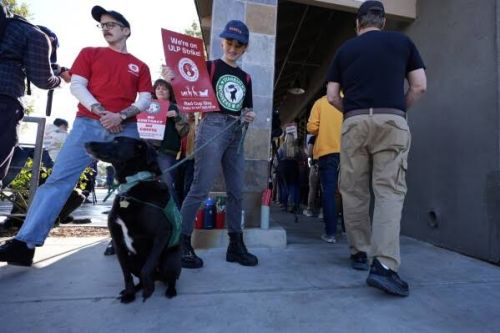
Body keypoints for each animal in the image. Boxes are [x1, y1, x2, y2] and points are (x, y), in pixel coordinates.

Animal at [84, 136, 182, 302]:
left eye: (117, 141)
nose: (86, 143)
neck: (132, 185)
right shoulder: (118, 242)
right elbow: (126, 274)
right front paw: (130, 293)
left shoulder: (162, 233)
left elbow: (147, 267)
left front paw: (148, 289)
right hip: (132, 259)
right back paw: (137, 288)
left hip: (171, 259)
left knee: (171, 278)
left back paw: (170, 290)